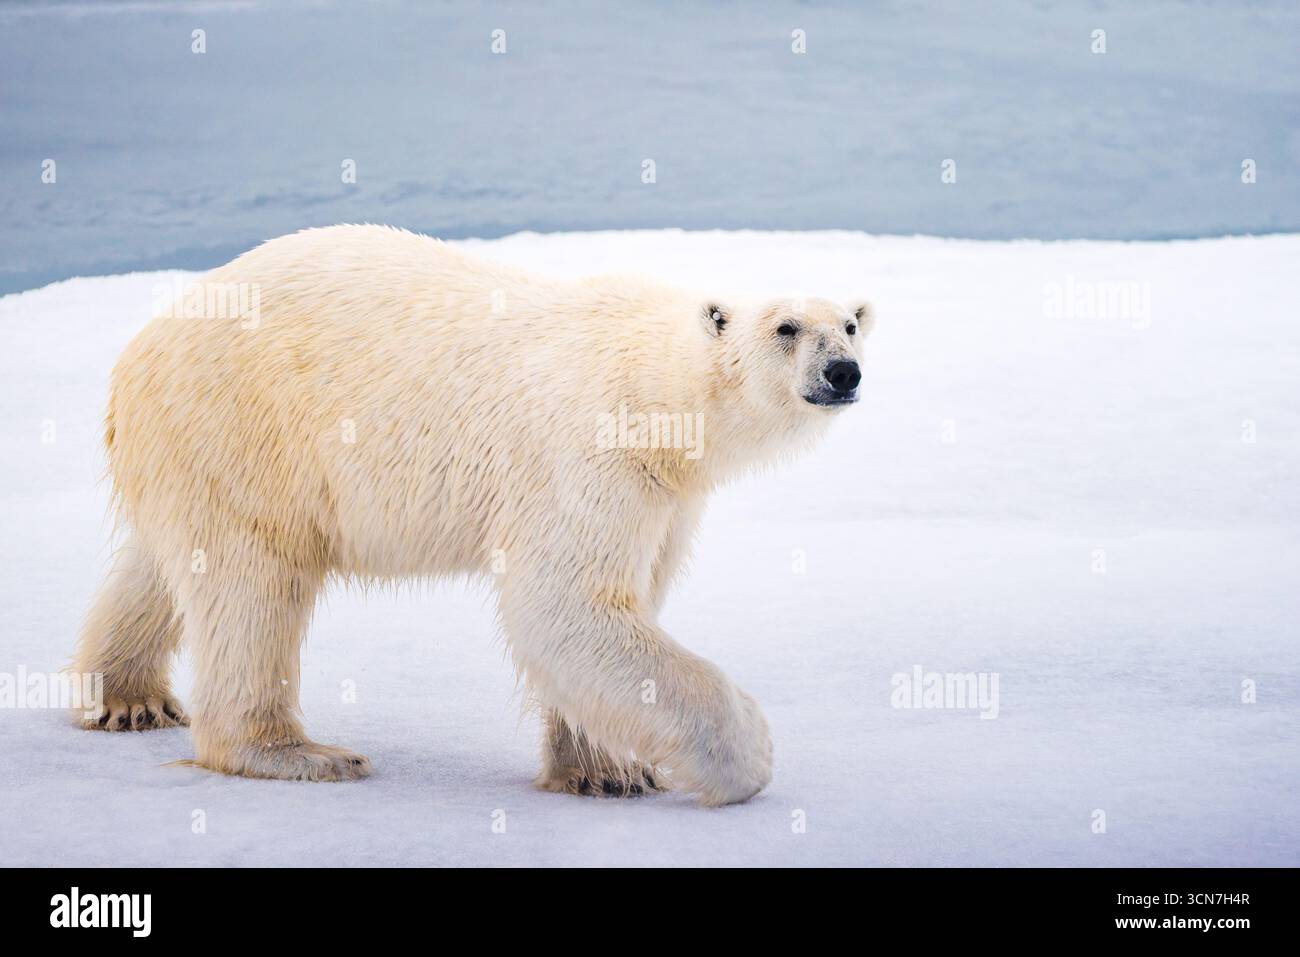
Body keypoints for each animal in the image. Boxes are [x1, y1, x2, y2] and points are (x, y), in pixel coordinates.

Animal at [72, 224, 872, 806]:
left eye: (850, 325)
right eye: (786, 327)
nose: (843, 373)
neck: (656, 389)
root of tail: (139, 348)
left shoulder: (668, 494)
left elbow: (623, 602)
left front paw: (605, 771)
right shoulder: (589, 451)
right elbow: (567, 603)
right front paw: (747, 754)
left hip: (193, 452)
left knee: (166, 565)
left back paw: (128, 698)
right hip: (245, 428)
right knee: (253, 584)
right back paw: (297, 751)